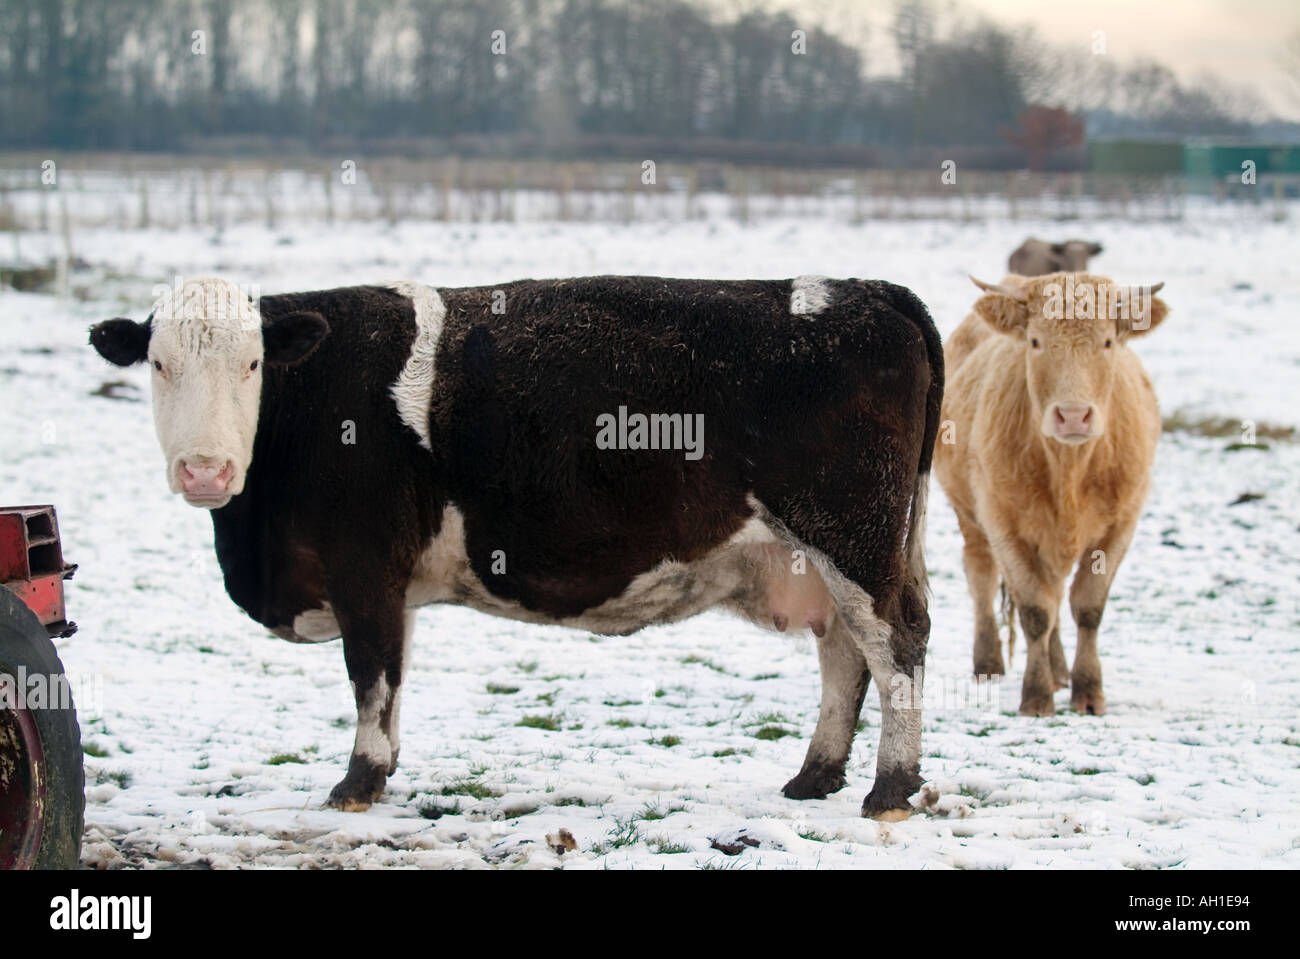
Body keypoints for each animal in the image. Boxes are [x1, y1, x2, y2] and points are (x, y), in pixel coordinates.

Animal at [90, 274, 943, 820]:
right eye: (158, 363)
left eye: (253, 363)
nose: (205, 468)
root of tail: (867, 290)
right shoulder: (392, 582)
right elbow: (393, 674)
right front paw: (384, 766)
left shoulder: (364, 567)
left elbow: (370, 672)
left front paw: (358, 781)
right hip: (826, 554)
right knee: (845, 652)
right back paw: (816, 775)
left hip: (852, 540)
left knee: (895, 644)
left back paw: (890, 789)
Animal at [934, 272, 1167, 716]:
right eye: (1036, 341)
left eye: (1107, 342)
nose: (1073, 415)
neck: (1069, 469)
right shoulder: (1003, 522)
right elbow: (1035, 609)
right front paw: (1037, 696)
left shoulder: (1121, 525)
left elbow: (1087, 606)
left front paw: (1088, 692)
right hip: (968, 514)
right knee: (982, 576)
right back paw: (989, 663)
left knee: (1057, 589)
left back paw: (1060, 671)